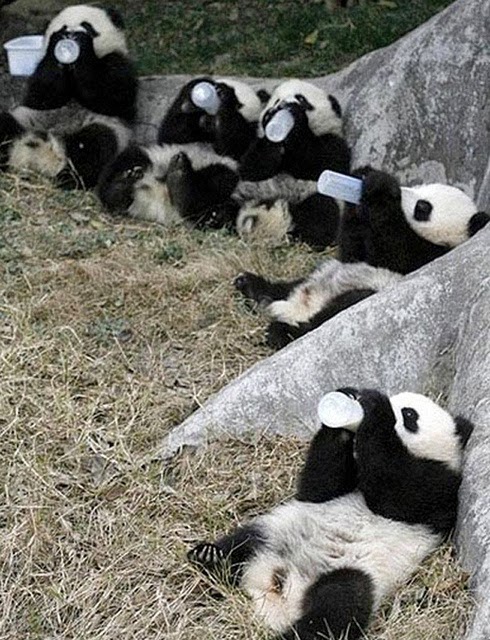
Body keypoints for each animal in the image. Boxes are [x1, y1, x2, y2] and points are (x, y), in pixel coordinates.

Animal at [188, 387, 473, 640]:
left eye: (409, 414)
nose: (361, 400)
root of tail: (276, 590)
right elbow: (319, 487)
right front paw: (343, 411)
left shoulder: (441, 488)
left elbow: (396, 494)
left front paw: (375, 407)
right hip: (276, 532)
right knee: (244, 543)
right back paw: (209, 557)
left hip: (356, 572)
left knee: (339, 605)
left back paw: (296, 634)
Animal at [339, 167, 490, 274]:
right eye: (419, 186)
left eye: (422, 208)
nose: (400, 192)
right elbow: (352, 252)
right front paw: (362, 173)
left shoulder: (424, 256)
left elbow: (388, 253)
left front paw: (380, 187)